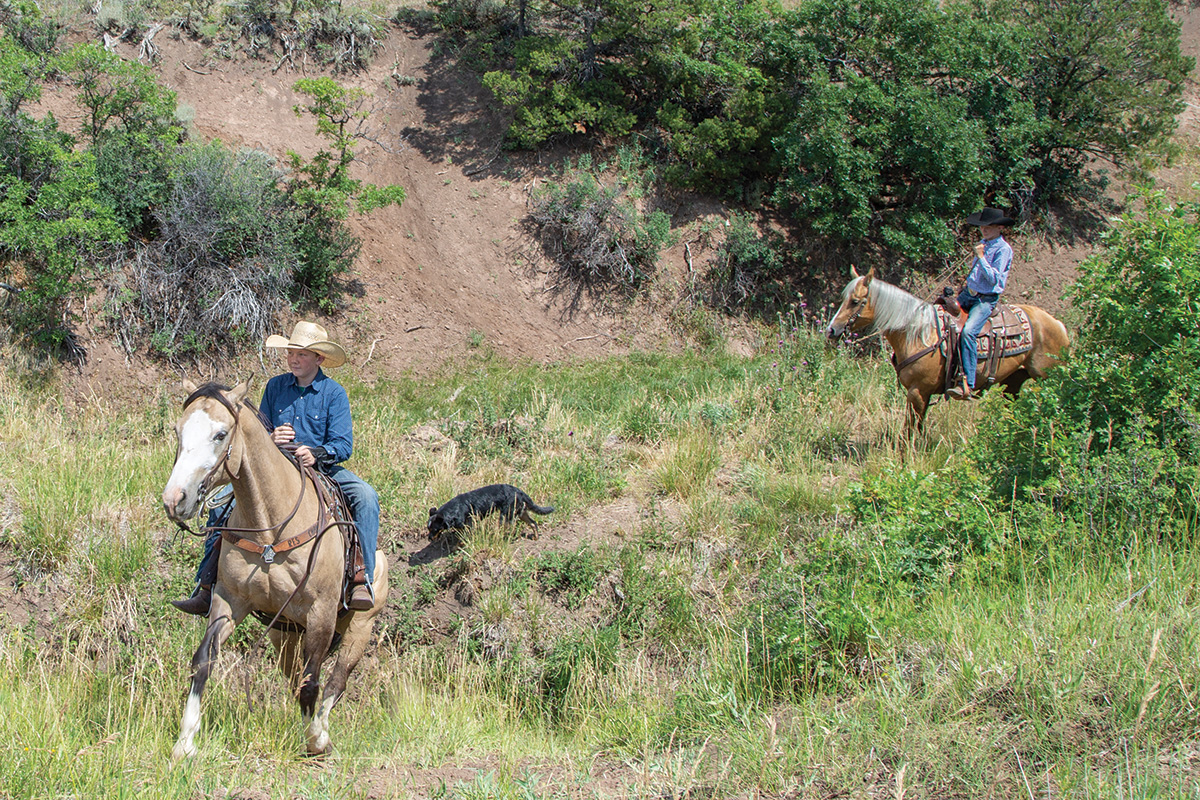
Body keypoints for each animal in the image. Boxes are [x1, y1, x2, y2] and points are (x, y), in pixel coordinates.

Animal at [161, 381, 389, 759]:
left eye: (220, 434)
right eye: (178, 431)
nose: (174, 499)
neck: (271, 529)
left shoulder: (321, 613)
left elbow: (313, 682)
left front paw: (315, 740)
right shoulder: (229, 601)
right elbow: (204, 659)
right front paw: (185, 741)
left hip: (359, 628)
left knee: (336, 680)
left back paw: (322, 731)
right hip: (285, 634)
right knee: (296, 676)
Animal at [824, 267, 1069, 434]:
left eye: (855, 301)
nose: (831, 330)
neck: (918, 333)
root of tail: (1058, 324)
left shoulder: (918, 392)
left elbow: (910, 431)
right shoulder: (920, 395)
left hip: (1048, 378)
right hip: (1014, 382)